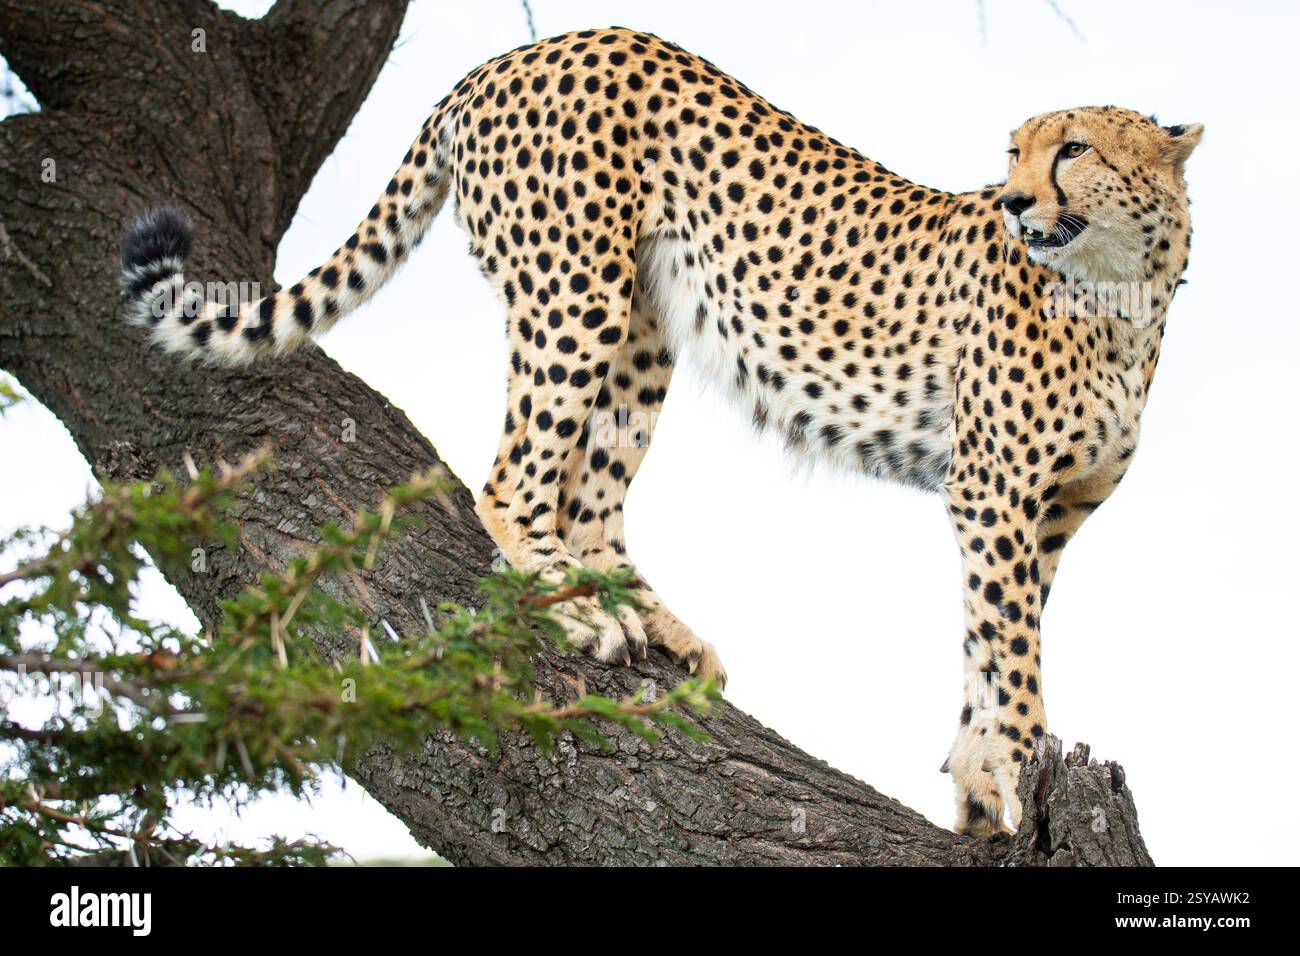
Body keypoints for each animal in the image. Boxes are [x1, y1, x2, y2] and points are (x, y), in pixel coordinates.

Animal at [118, 26, 1202, 837]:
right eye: (1014, 152)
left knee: (588, 501)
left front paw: (979, 778)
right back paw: (571, 605)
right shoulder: (993, 492)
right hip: (575, 292)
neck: (1120, 294)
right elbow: (1011, 644)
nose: (1016, 200)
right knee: (513, 479)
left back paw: (652, 622)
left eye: (1072, 149)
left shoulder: (1048, 513)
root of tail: (510, 57)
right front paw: (1013, 766)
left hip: (643, 330)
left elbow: (991, 639)